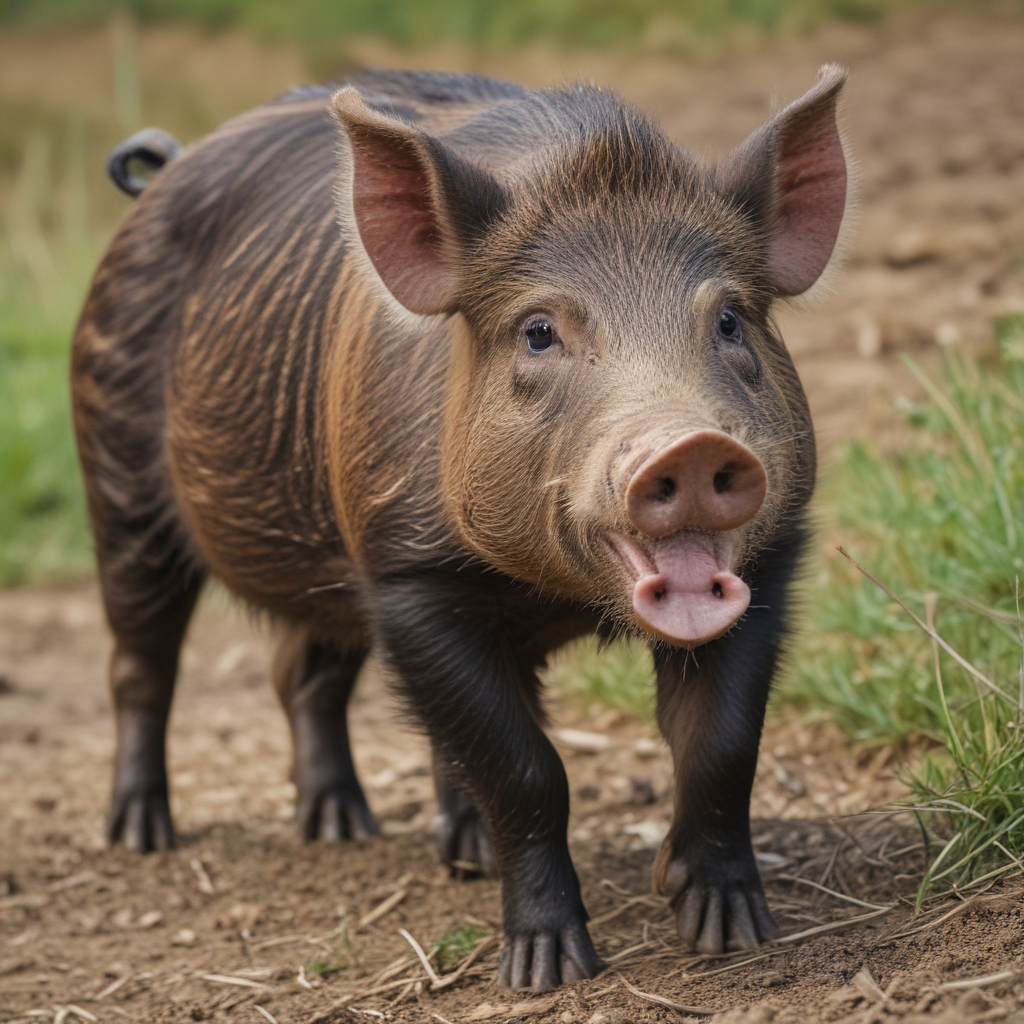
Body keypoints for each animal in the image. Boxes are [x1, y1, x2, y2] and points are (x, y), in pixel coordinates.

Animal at [72, 64, 849, 991]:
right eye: (539, 332)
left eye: (729, 320)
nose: (691, 445)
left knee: (304, 671)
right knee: (140, 664)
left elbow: (722, 744)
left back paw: (356, 829)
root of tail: (166, 170)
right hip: (119, 486)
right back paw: (141, 834)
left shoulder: (770, 563)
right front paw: (547, 973)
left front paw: (732, 934)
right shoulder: (406, 577)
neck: (559, 595)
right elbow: (525, 769)